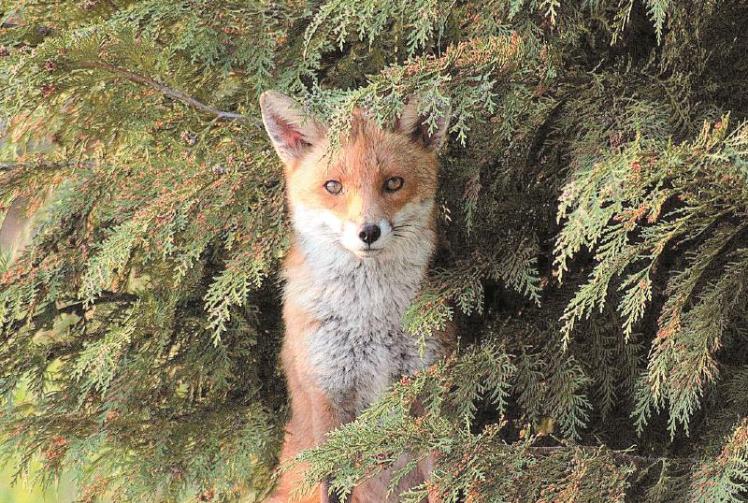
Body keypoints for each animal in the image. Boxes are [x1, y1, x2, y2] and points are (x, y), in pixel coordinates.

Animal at [259, 90, 452, 503]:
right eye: (333, 186)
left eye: (393, 183)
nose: (368, 232)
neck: (371, 319)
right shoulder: (328, 399)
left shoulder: (428, 394)